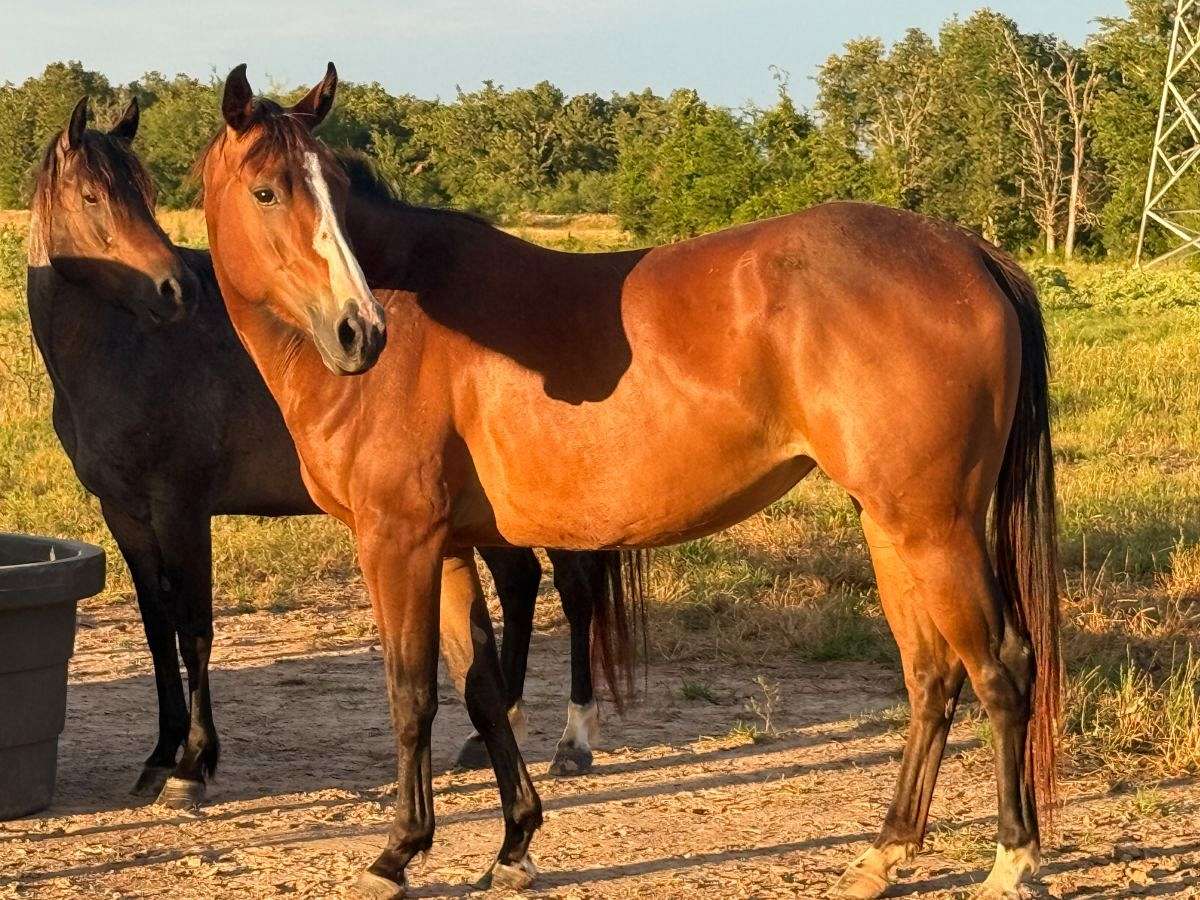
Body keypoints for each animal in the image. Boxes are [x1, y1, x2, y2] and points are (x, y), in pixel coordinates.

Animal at [25, 96, 638, 811]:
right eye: (93, 196)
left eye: (144, 195)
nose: (173, 289)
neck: (126, 350)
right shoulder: (124, 514)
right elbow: (157, 629)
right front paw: (159, 757)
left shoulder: (181, 509)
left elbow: (194, 627)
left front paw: (193, 765)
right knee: (520, 583)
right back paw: (488, 731)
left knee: (573, 589)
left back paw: (575, 739)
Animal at [200, 62, 1059, 900]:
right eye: (268, 190)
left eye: (336, 193)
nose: (359, 331)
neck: (416, 312)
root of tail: (967, 253)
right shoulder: (444, 547)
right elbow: (480, 688)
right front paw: (515, 845)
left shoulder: (396, 542)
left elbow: (411, 695)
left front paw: (395, 855)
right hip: (889, 525)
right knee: (932, 676)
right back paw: (883, 855)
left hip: (934, 526)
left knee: (1002, 667)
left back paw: (1012, 862)